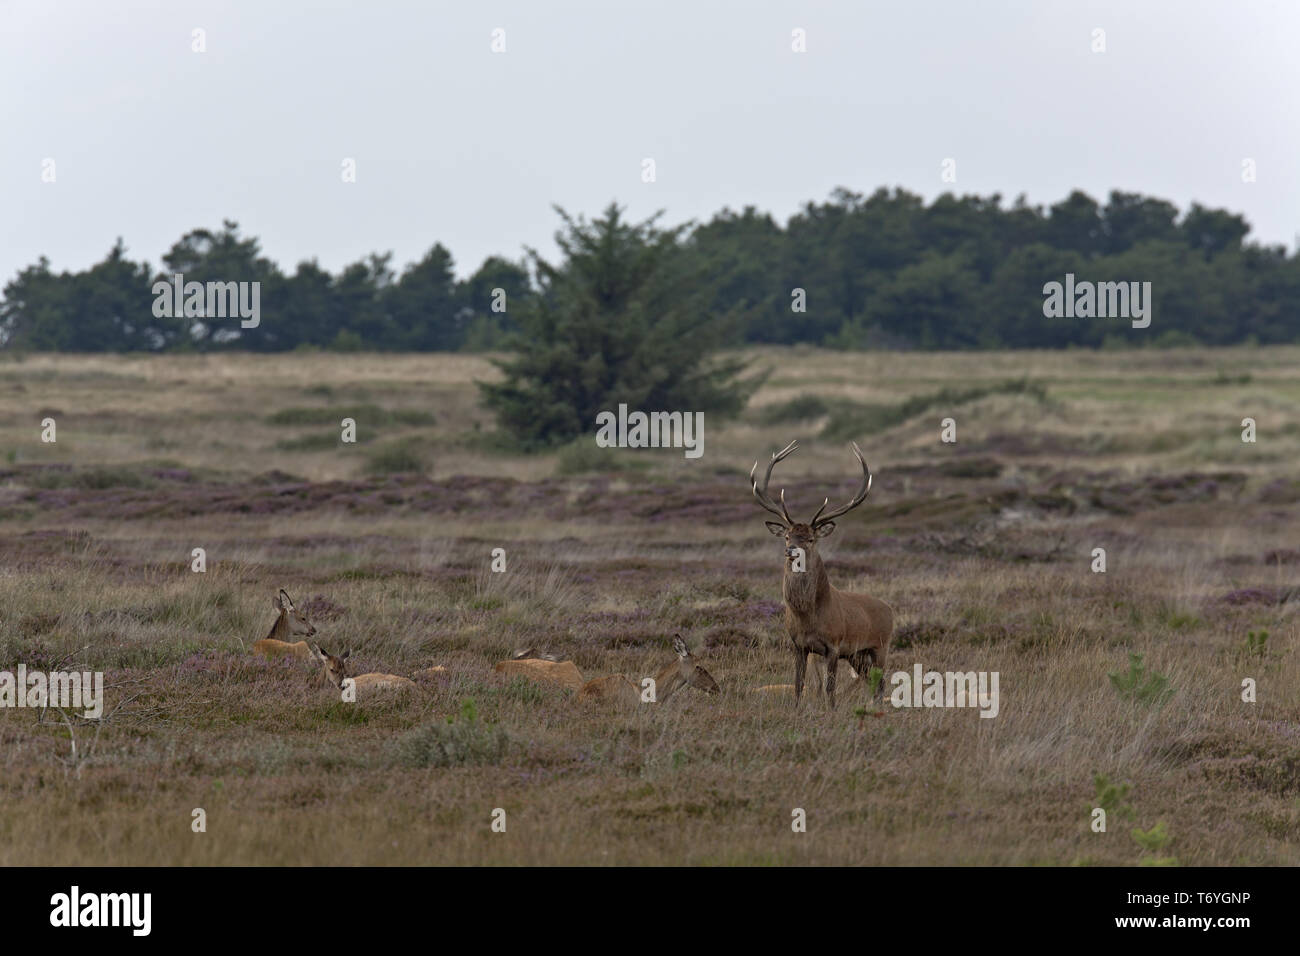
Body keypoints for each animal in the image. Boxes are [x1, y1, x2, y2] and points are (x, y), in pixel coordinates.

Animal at [750, 440, 893, 708]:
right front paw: (797, 710)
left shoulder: (834, 645)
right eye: (787, 536)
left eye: (810, 539)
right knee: (871, 681)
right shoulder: (798, 645)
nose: (790, 551)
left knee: (880, 683)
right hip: (857, 654)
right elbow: (799, 686)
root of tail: (890, 609)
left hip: (881, 646)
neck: (809, 617)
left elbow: (830, 689)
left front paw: (831, 710)